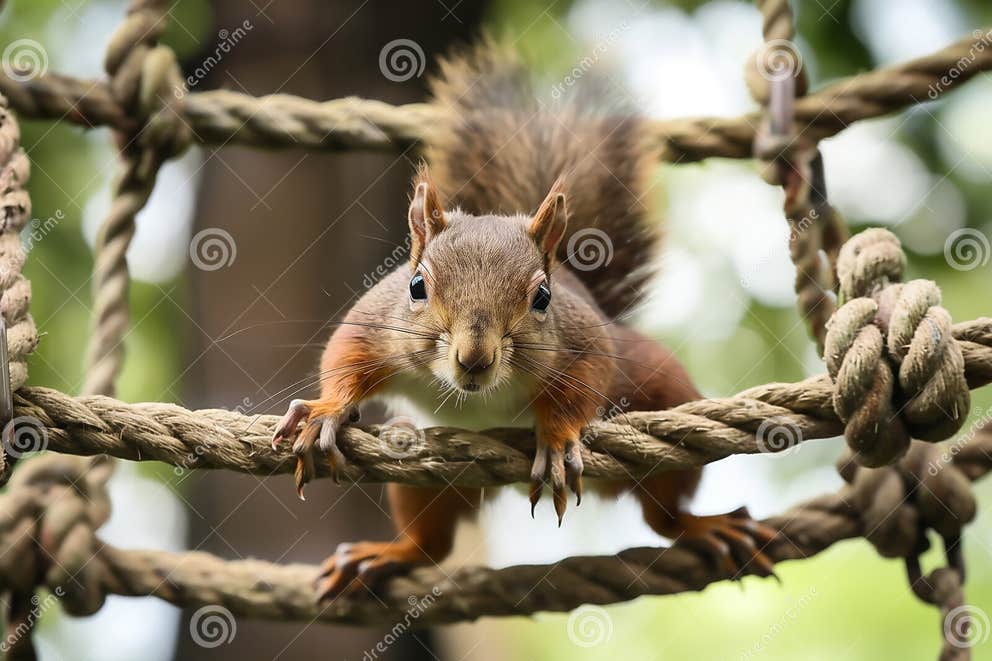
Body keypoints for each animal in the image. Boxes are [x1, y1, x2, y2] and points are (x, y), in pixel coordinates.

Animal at [271, 42, 777, 602]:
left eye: (543, 297)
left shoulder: (583, 340)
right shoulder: (376, 323)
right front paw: (327, 411)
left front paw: (555, 439)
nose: (474, 359)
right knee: (431, 544)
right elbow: (345, 353)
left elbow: (583, 384)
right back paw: (386, 555)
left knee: (662, 513)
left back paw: (703, 527)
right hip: (421, 470)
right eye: (416, 285)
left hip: (661, 396)